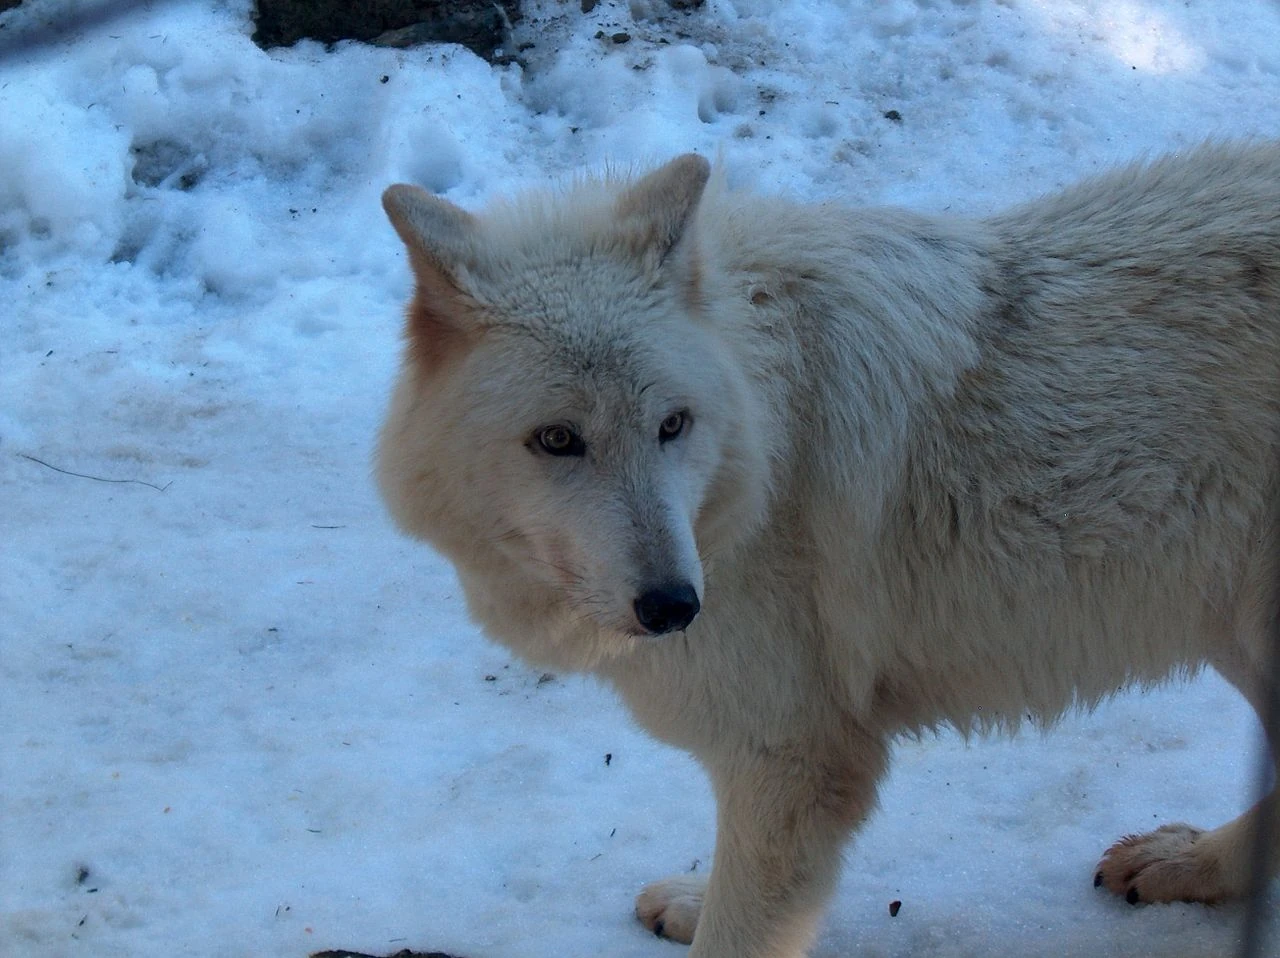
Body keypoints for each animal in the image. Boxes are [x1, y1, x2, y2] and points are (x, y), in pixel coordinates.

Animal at [376, 141, 1280, 957]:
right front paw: (698, 900)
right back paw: (1192, 865)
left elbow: (741, 933)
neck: (766, 436)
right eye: (558, 439)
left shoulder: (796, 760)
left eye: (672, 424)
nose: (674, 607)